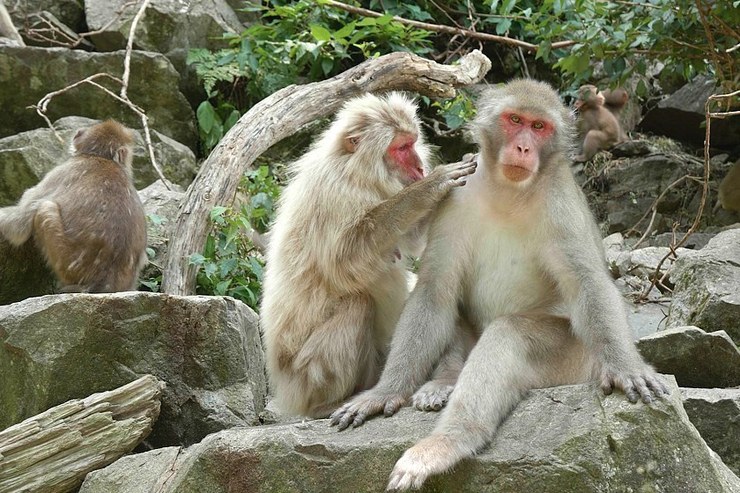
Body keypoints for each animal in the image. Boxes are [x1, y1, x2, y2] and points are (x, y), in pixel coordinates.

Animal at [0, 119, 147, 293]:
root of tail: (104, 283)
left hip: (68, 264)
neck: (102, 157)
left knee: (45, 208)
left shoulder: (64, 170)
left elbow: (18, 227)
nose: (79, 131)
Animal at [259, 92, 478, 419]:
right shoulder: (333, 194)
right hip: (306, 377)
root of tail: (285, 392)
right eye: (401, 148)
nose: (419, 167)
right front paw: (430, 187)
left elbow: (413, 241)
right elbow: (344, 260)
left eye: (413, 142)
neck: (358, 174)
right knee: (358, 304)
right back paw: (329, 404)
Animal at [330, 80, 668, 491]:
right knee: (450, 305)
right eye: (515, 120)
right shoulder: (453, 198)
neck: (509, 191)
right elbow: (434, 288)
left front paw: (625, 367)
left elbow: (588, 284)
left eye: (539, 127)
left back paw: (450, 441)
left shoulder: (561, 203)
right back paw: (443, 383)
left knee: (511, 333)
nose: (523, 147)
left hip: (576, 359)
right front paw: (385, 392)